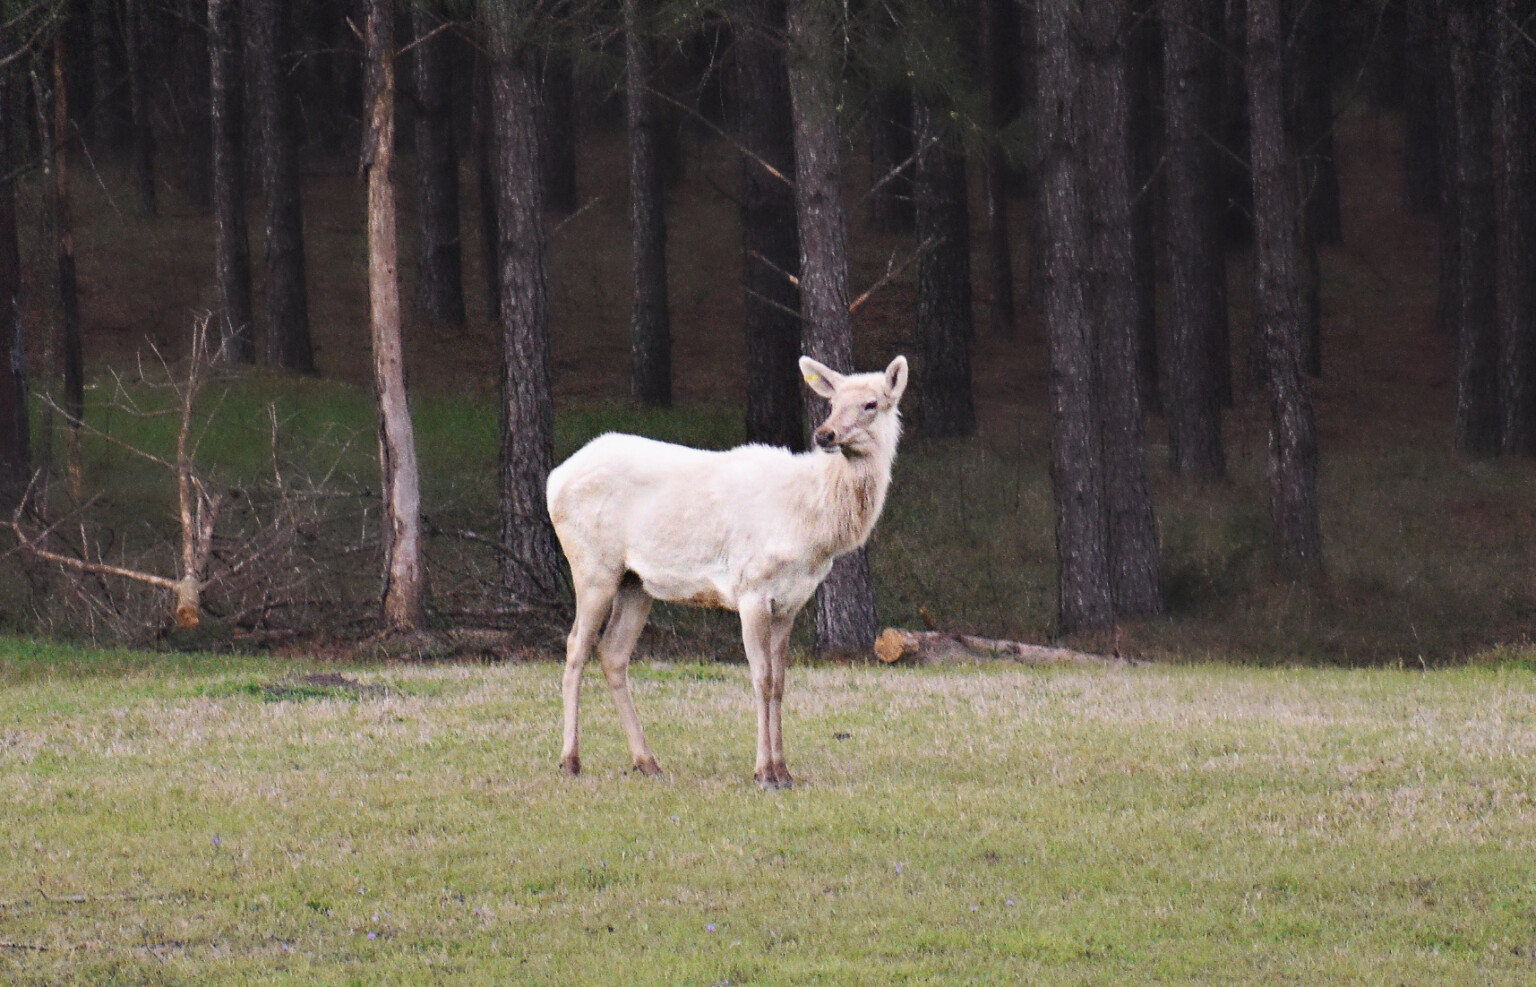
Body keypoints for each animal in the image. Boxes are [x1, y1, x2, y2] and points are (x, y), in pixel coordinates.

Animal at [545, 355, 908, 789]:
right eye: (832, 401)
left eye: (871, 404)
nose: (825, 433)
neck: (811, 528)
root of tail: (552, 480)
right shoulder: (751, 587)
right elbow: (761, 678)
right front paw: (764, 772)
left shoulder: (791, 602)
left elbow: (781, 682)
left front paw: (785, 771)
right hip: (593, 565)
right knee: (575, 647)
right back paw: (570, 760)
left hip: (636, 582)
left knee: (613, 653)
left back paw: (648, 762)